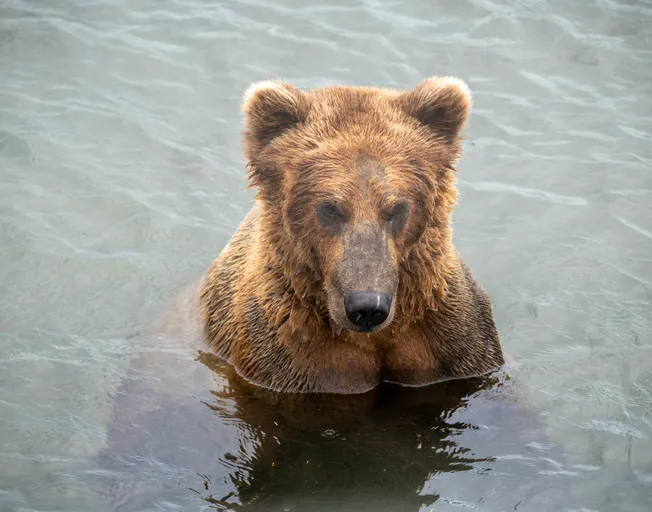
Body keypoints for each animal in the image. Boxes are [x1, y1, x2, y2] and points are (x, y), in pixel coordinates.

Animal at [199, 76, 505, 394]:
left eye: (397, 208)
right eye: (330, 208)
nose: (367, 307)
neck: (378, 337)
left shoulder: (450, 341)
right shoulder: (289, 356)